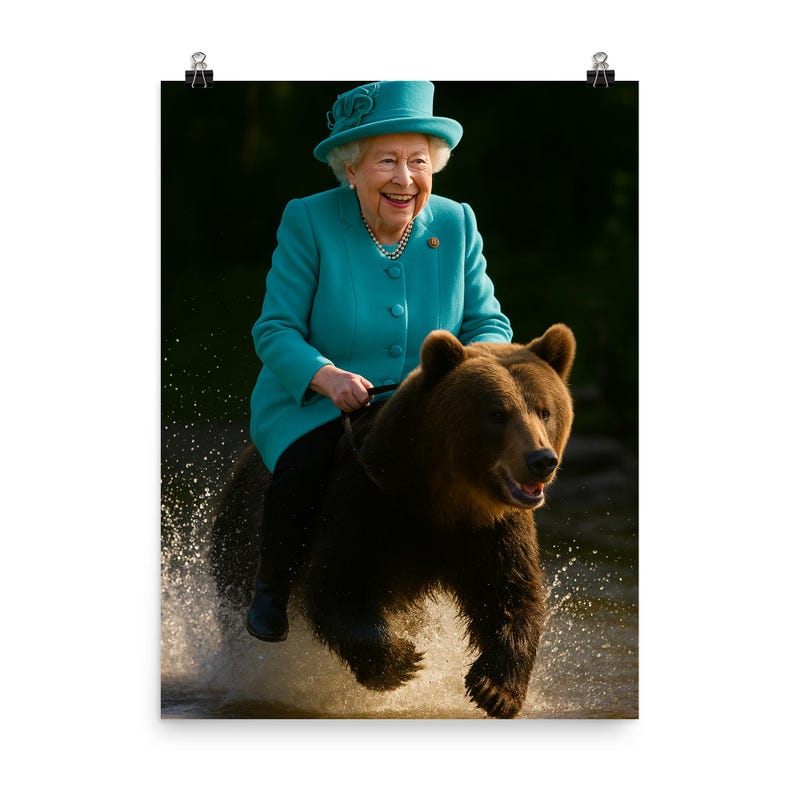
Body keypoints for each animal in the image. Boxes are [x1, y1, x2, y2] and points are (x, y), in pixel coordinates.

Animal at [210, 323, 576, 719]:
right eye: (497, 414)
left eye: (545, 410)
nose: (541, 460)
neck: (441, 499)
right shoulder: (368, 501)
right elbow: (339, 584)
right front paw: (402, 660)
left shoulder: (492, 529)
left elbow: (510, 593)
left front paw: (495, 689)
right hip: (244, 530)